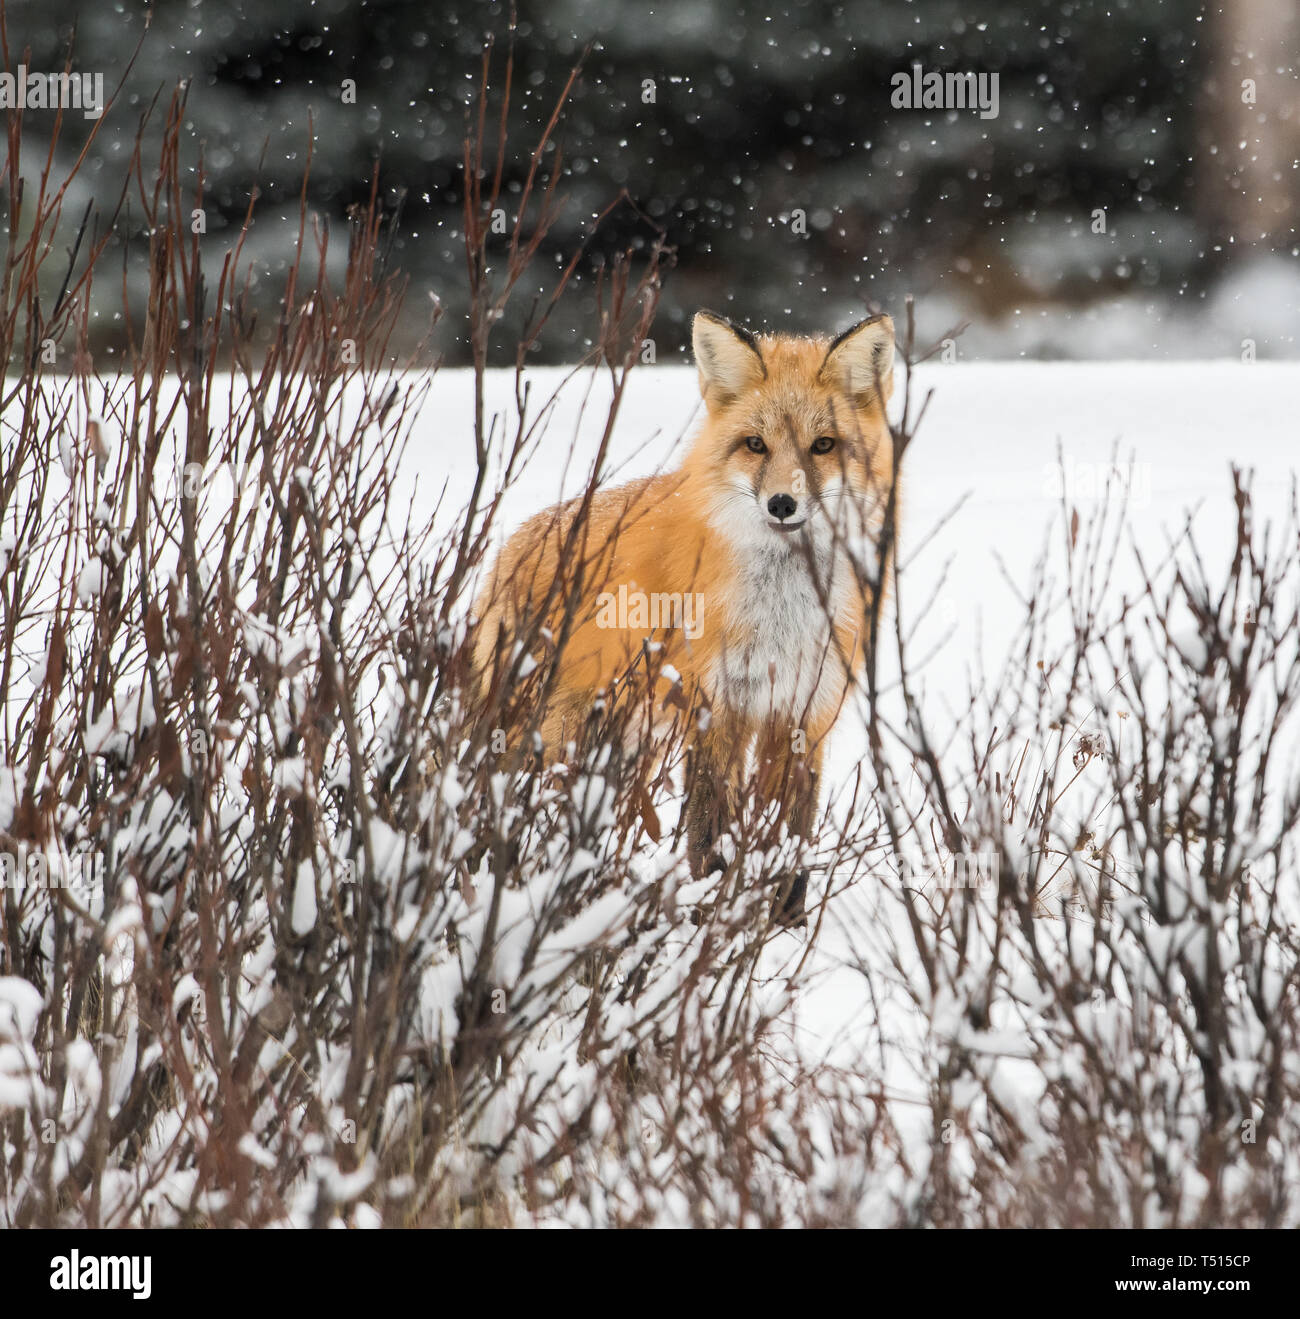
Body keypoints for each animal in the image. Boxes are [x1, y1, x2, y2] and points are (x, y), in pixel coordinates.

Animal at [472, 310, 898, 920]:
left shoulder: (807, 709)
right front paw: (709, 913)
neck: (782, 614)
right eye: (755, 444)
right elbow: (707, 827)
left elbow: (790, 830)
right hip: (554, 733)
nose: (782, 504)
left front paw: (783, 922)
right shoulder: (716, 705)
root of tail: (511, 546)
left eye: (823, 445)